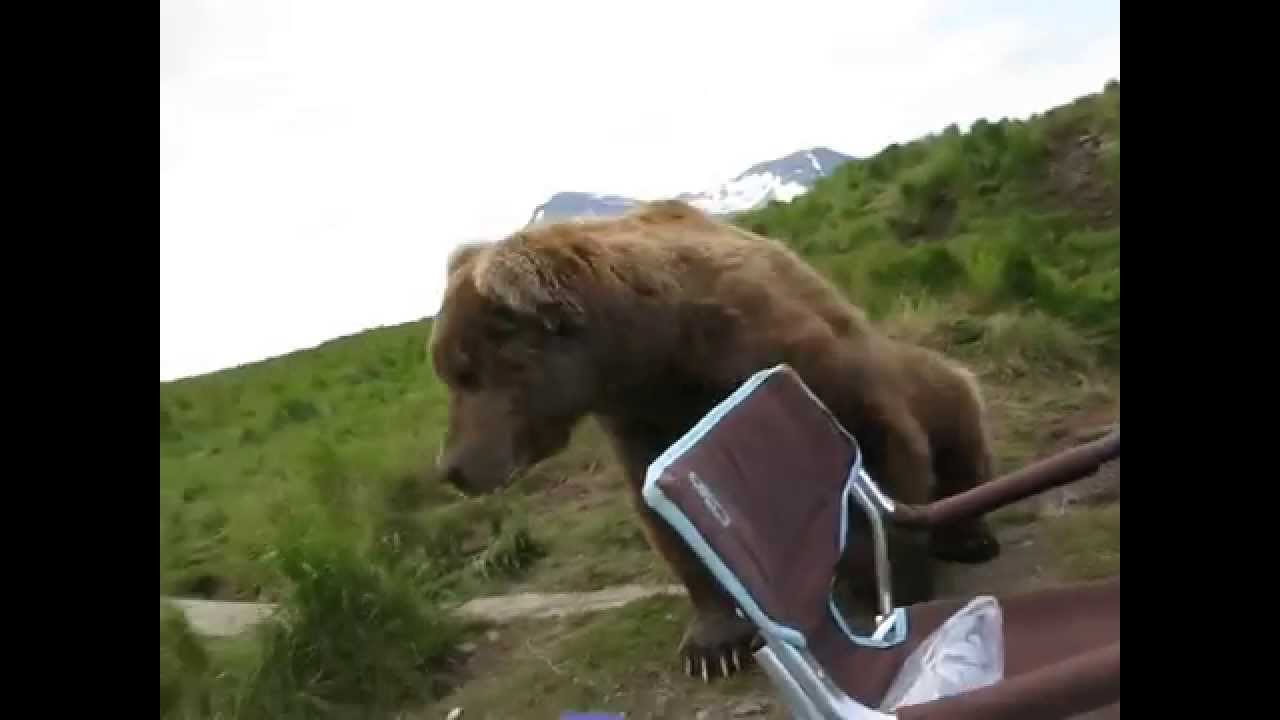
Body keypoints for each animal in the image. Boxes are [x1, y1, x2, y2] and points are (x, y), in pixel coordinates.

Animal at [428, 199, 1000, 681]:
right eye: (447, 371)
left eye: (466, 371)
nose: (452, 468)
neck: (654, 352)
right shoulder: (645, 420)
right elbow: (668, 520)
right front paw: (713, 646)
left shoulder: (785, 357)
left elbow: (874, 448)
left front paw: (892, 579)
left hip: (931, 379)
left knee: (956, 419)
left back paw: (967, 534)